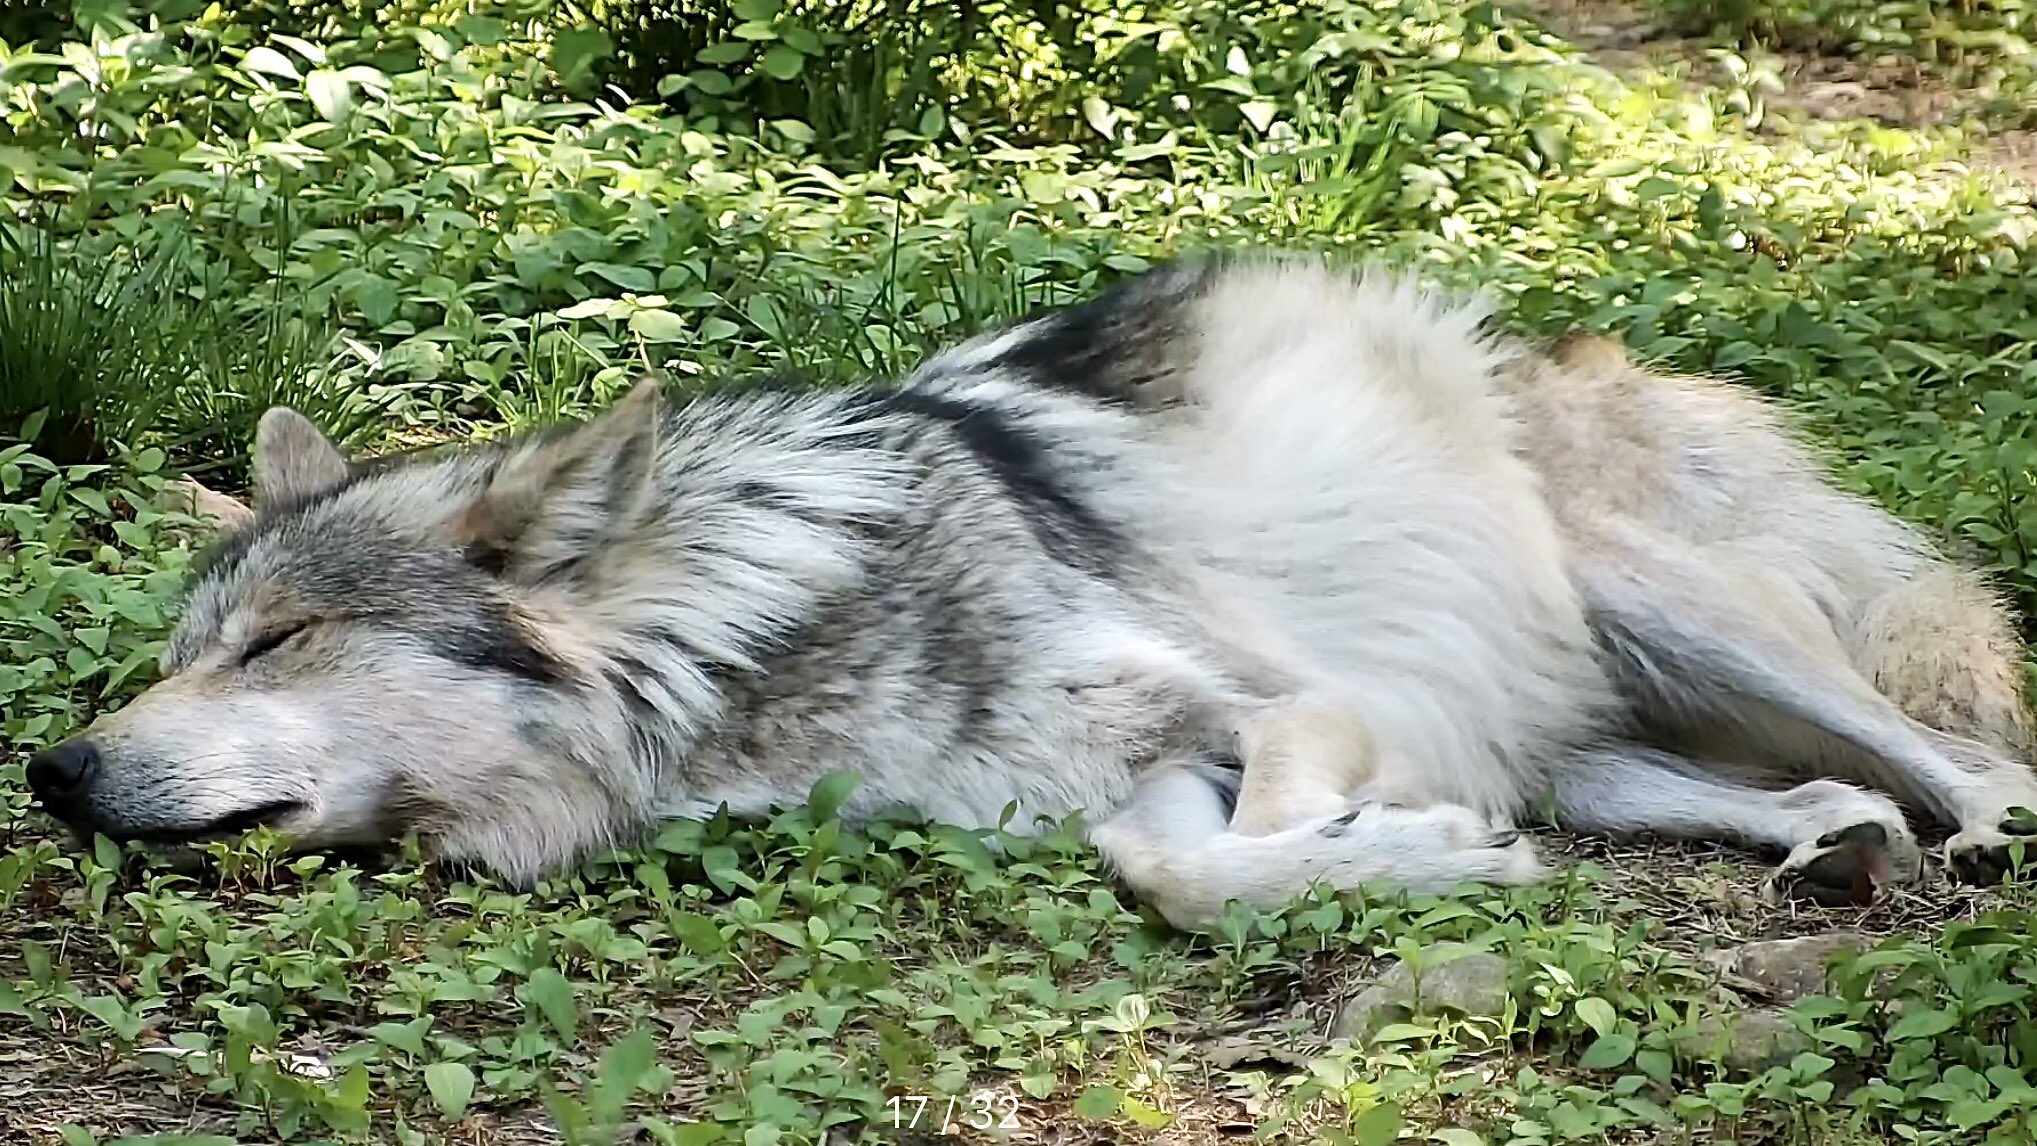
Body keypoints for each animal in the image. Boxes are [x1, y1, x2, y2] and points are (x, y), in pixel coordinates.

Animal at [25, 252, 2037, 927]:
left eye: (282, 640)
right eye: (179, 653)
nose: (52, 770)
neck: (746, 653)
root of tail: (1566, 355)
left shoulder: (1294, 706)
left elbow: (1242, 840)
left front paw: (1401, 853)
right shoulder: (1111, 778)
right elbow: (1168, 862)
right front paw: (1402, 858)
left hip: (1659, 611)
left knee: (1972, 762)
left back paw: (1966, 835)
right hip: (1603, 751)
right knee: (1815, 789)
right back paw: (1834, 850)